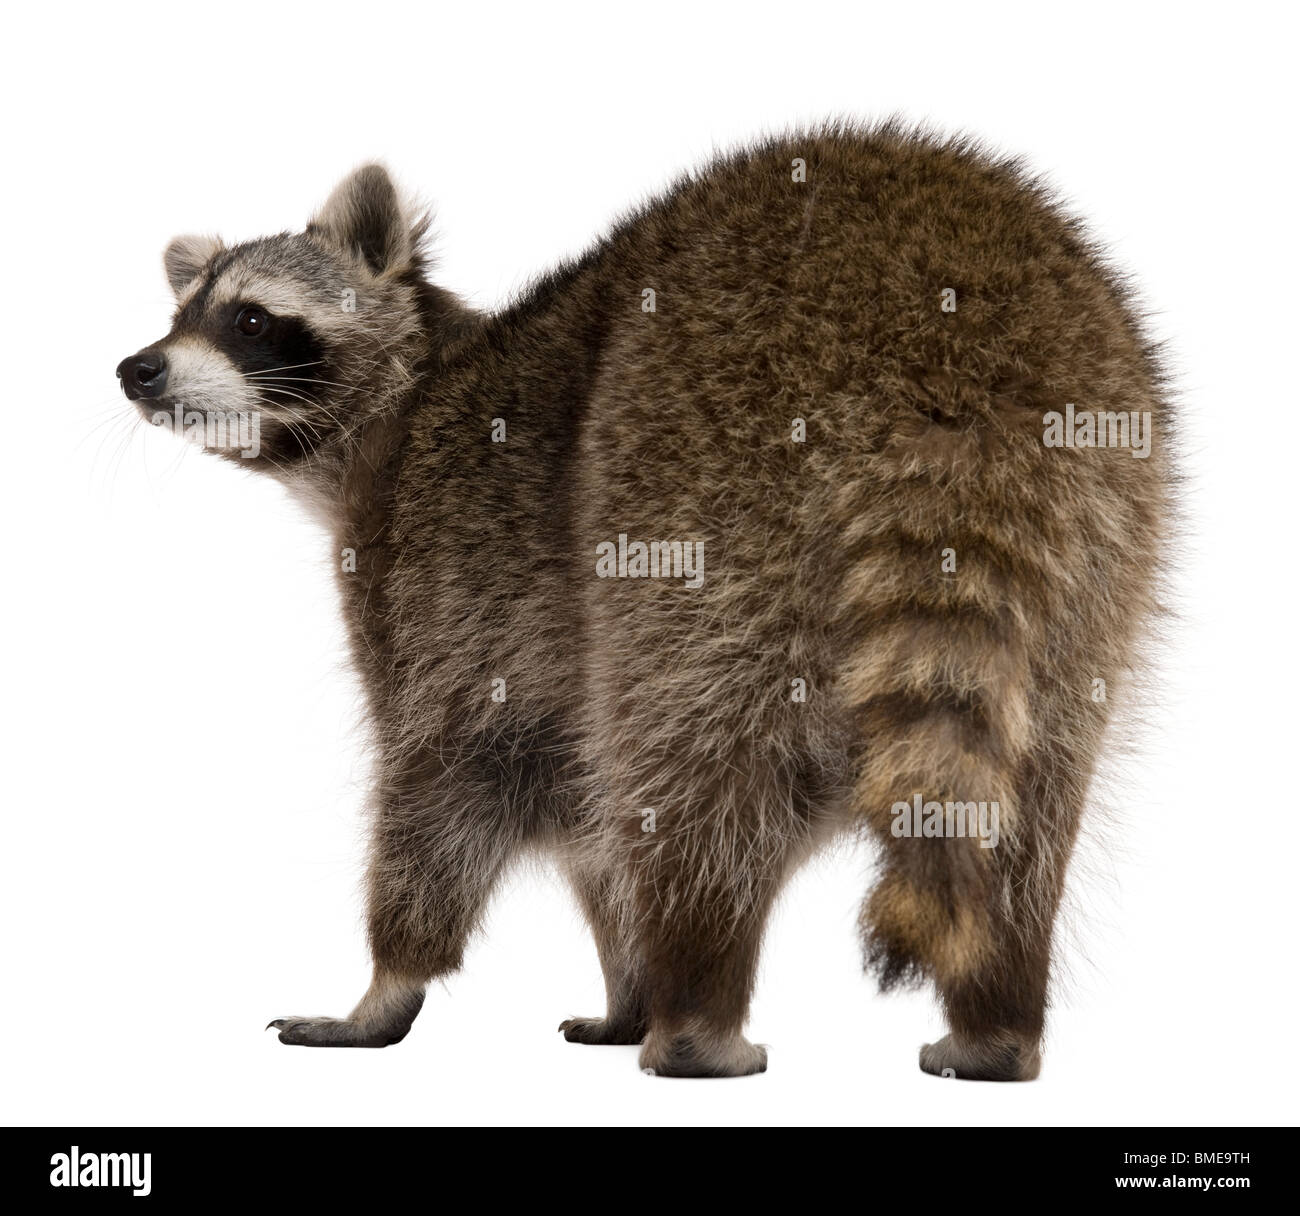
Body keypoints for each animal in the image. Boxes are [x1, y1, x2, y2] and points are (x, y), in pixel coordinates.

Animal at [117, 122, 1172, 1079]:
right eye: (180, 314)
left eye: (251, 320)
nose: (137, 368)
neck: (401, 407)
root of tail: (953, 335)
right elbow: (587, 810)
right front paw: (624, 984)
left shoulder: (439, 557)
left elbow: (447, 769)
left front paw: (390, 982)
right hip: (1102, 517)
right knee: (1030, 802)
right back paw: (997, 1015)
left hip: (694, 479)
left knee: (688, 755)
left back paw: (698, 1014)